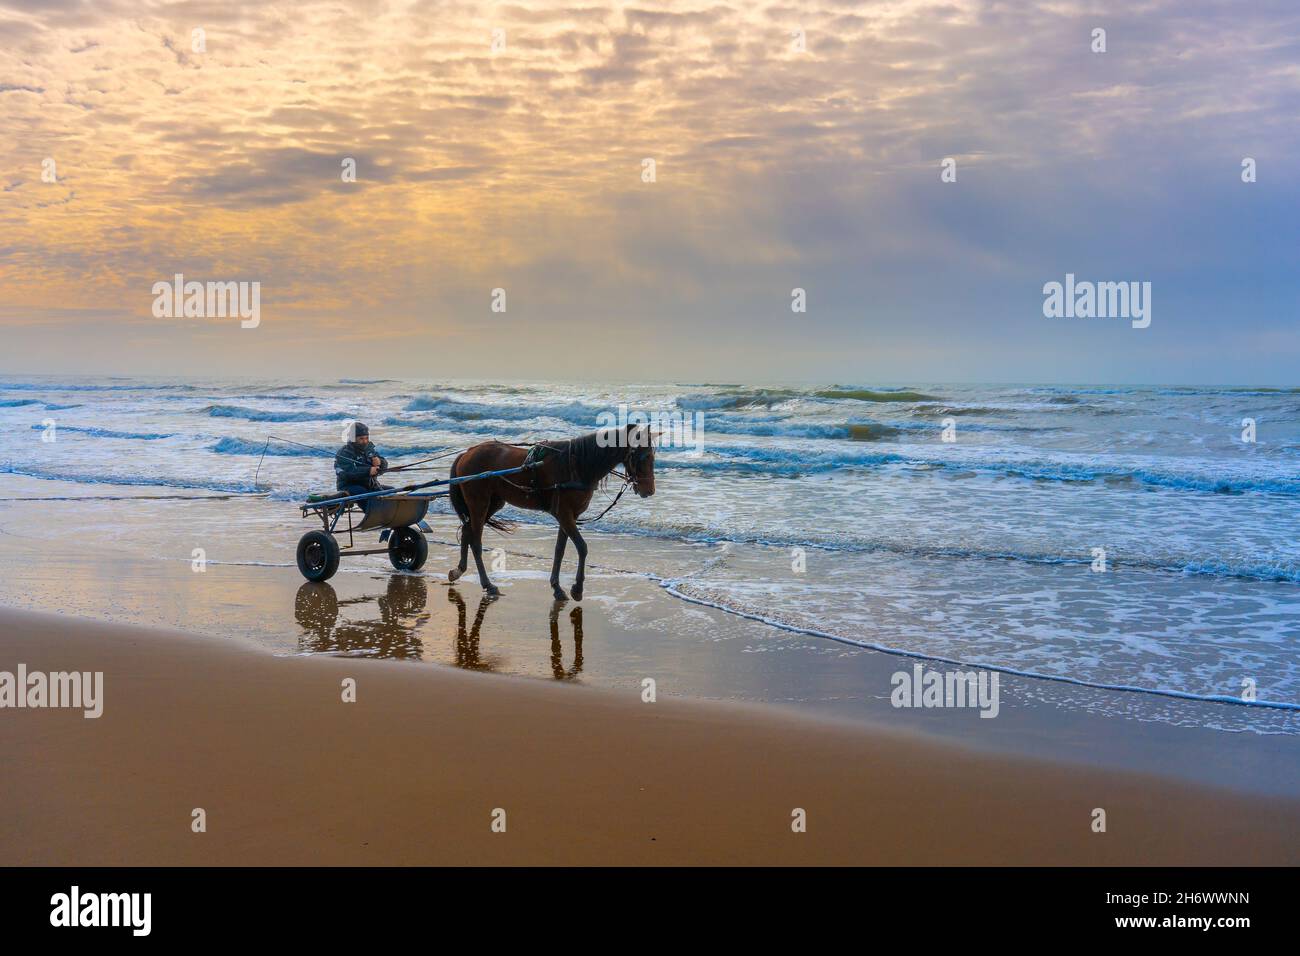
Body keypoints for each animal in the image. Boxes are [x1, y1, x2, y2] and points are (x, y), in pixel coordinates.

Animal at [446, 423, 656, 600]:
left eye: (653, 456)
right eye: (643, 457)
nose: (649, 490)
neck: (576, 466)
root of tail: (466, 453)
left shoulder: (569, 516)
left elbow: (559, 550)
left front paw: (557, 586)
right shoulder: (564, 514)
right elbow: (582, 547)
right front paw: (577, 588)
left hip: (493, 503)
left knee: (467, 532)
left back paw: (459, 570)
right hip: (479, 504)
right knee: (475, 542)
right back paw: (487, 584)